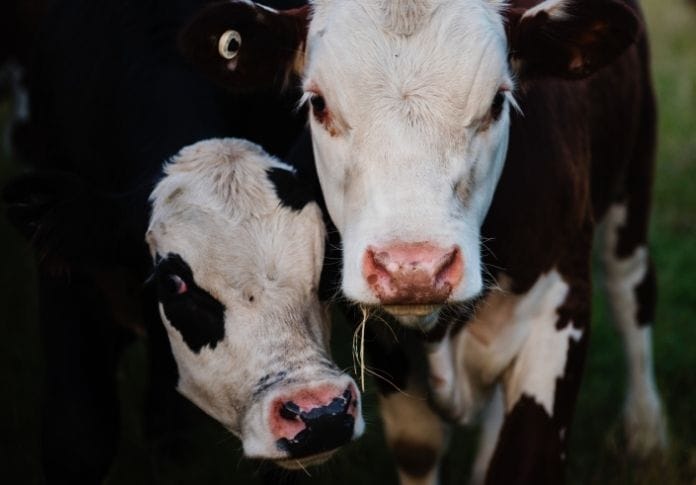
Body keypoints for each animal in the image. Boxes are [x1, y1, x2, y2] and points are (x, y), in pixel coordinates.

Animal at [181, 0, 667, 483]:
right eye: (318, 103)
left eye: (498, 101)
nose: (412, 269)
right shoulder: (384, 344)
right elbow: (419, 446)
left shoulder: (559, 308)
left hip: (635, 175)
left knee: (630, 288)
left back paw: (645, 429)